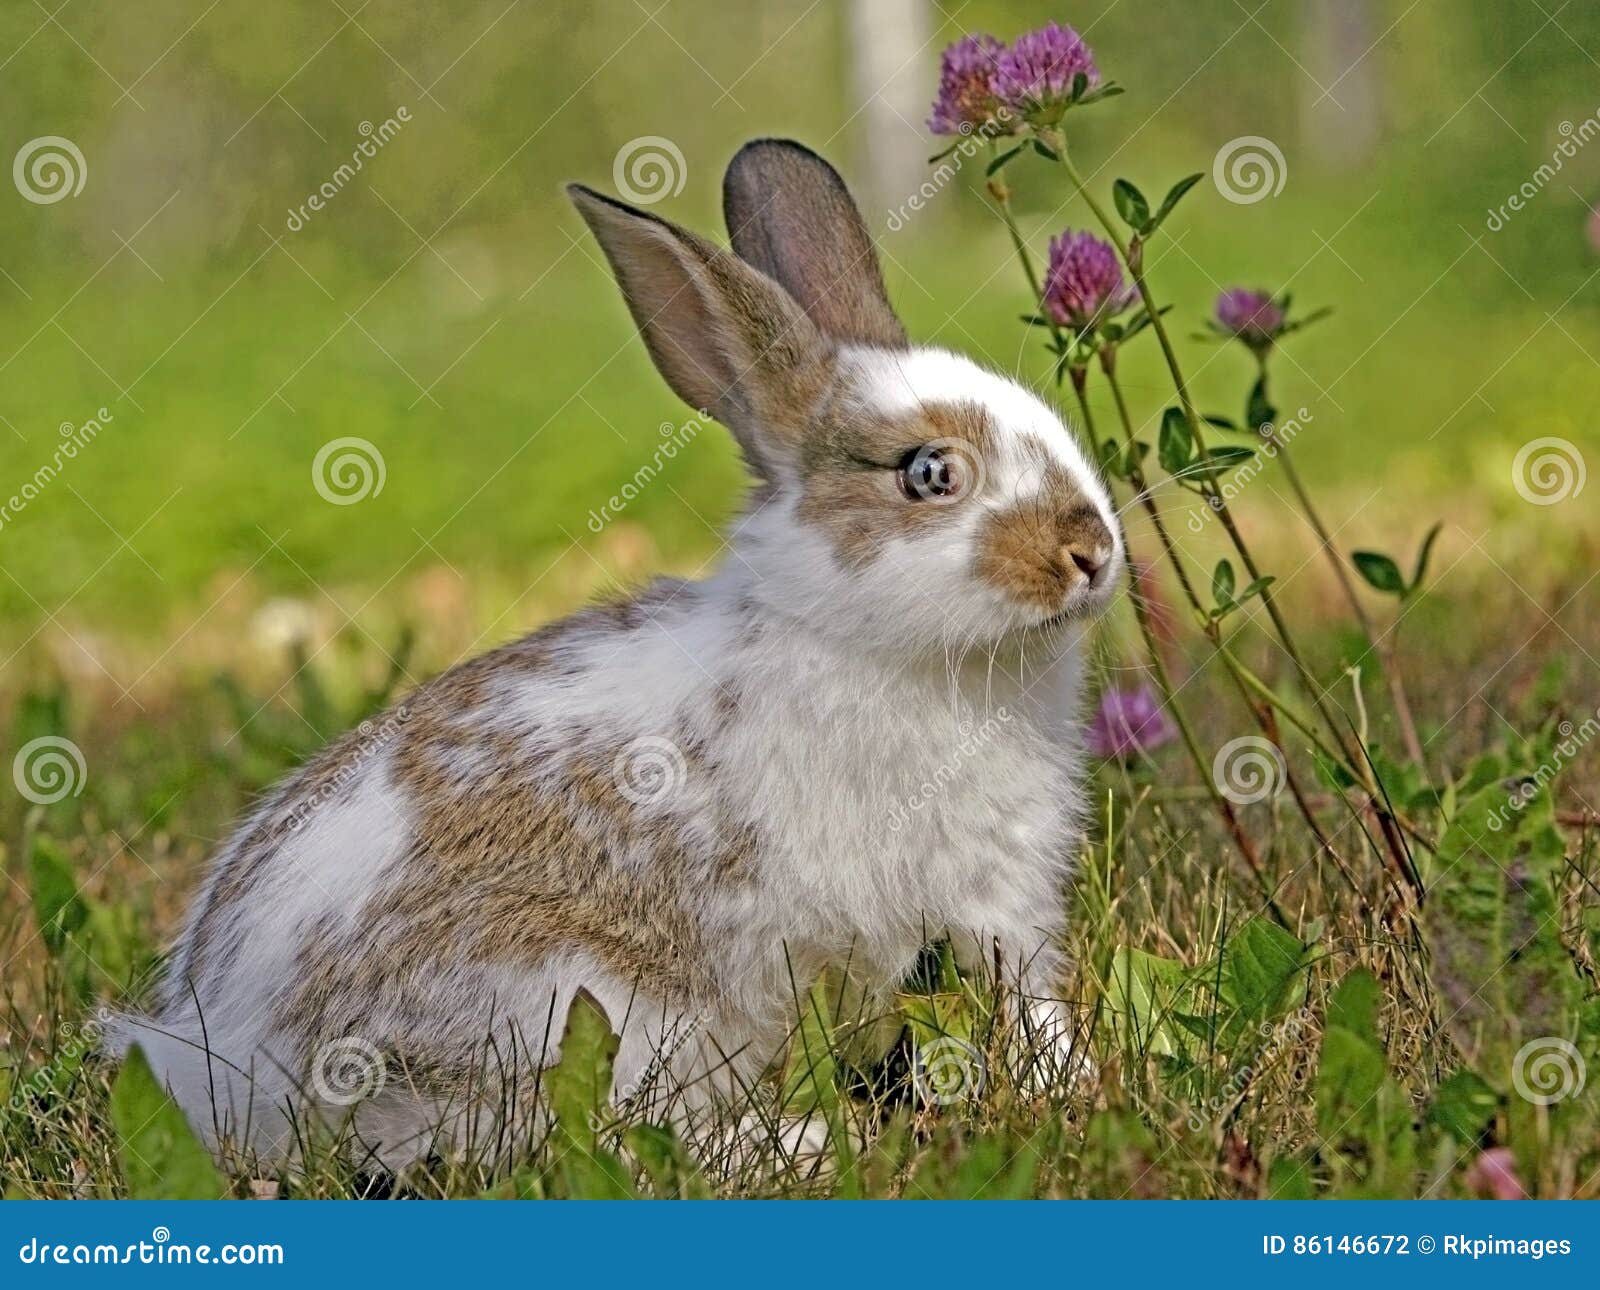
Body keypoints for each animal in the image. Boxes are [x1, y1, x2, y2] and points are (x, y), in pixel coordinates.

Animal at [104, 139, 1123, 1171]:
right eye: (930, 473)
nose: (1092, 553)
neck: (846, 635)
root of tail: (240, 1062)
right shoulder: (983, 896)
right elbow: (1024, 1001)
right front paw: (1070, 1080)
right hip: (589, 1006)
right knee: (594, 1133)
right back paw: (797, 1145)